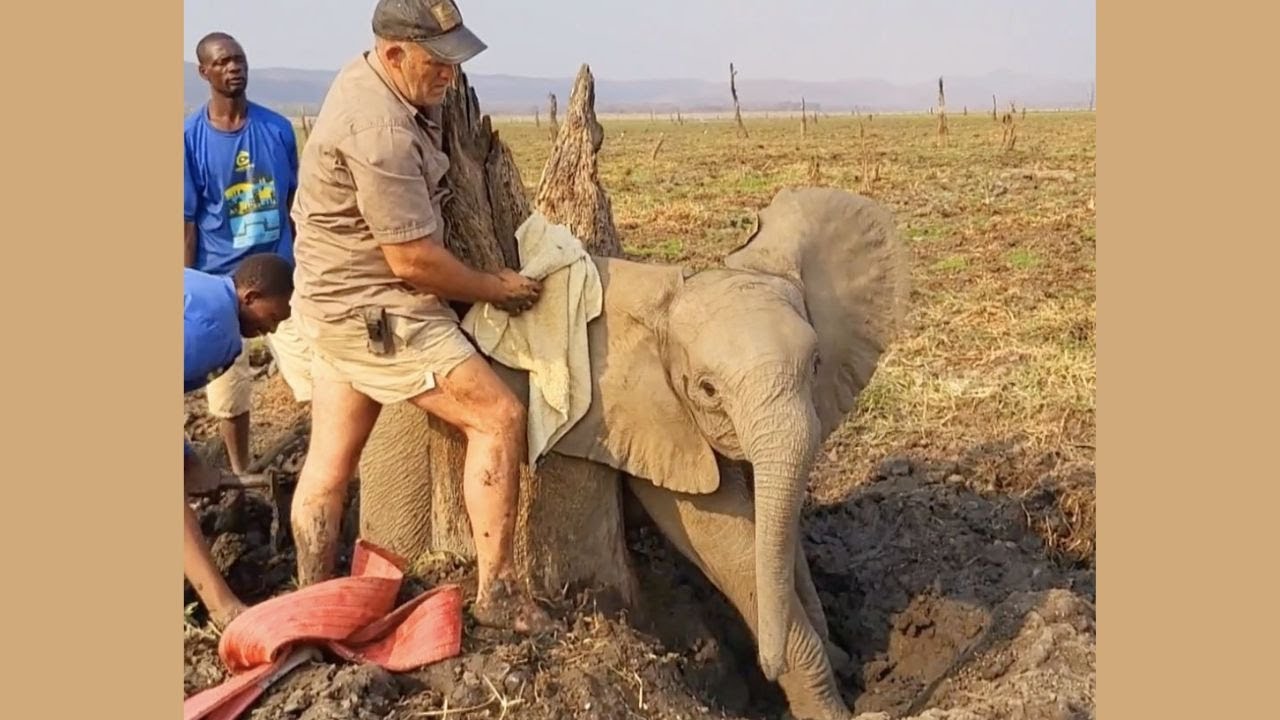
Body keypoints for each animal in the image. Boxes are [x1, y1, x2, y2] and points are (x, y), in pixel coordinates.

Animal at [356, 186, 911, 719]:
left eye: (816, 364)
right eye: (707, 389)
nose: (766, 667)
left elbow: (768, 526)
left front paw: (841, 659)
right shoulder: (644, 416)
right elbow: (724, 536)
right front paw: (832, 705)